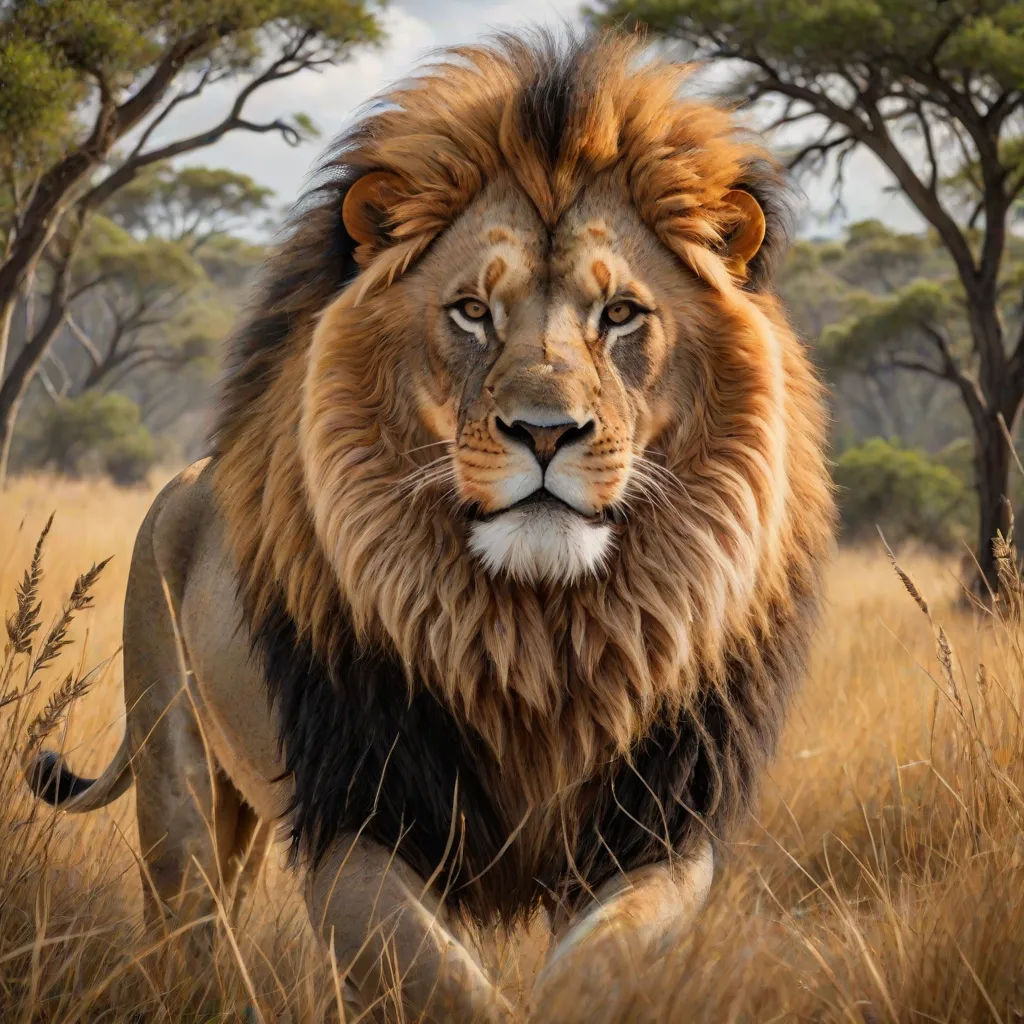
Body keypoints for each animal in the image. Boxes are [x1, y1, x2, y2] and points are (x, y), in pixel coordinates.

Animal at [26, 31, 834, 1022]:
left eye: (620, 314)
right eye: (472, 311)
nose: (545, 432)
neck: (540, 636)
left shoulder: (662, 827)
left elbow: (596, 967)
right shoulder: (352, 814)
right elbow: (441, 981)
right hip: (175, 785)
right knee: (186, 934)